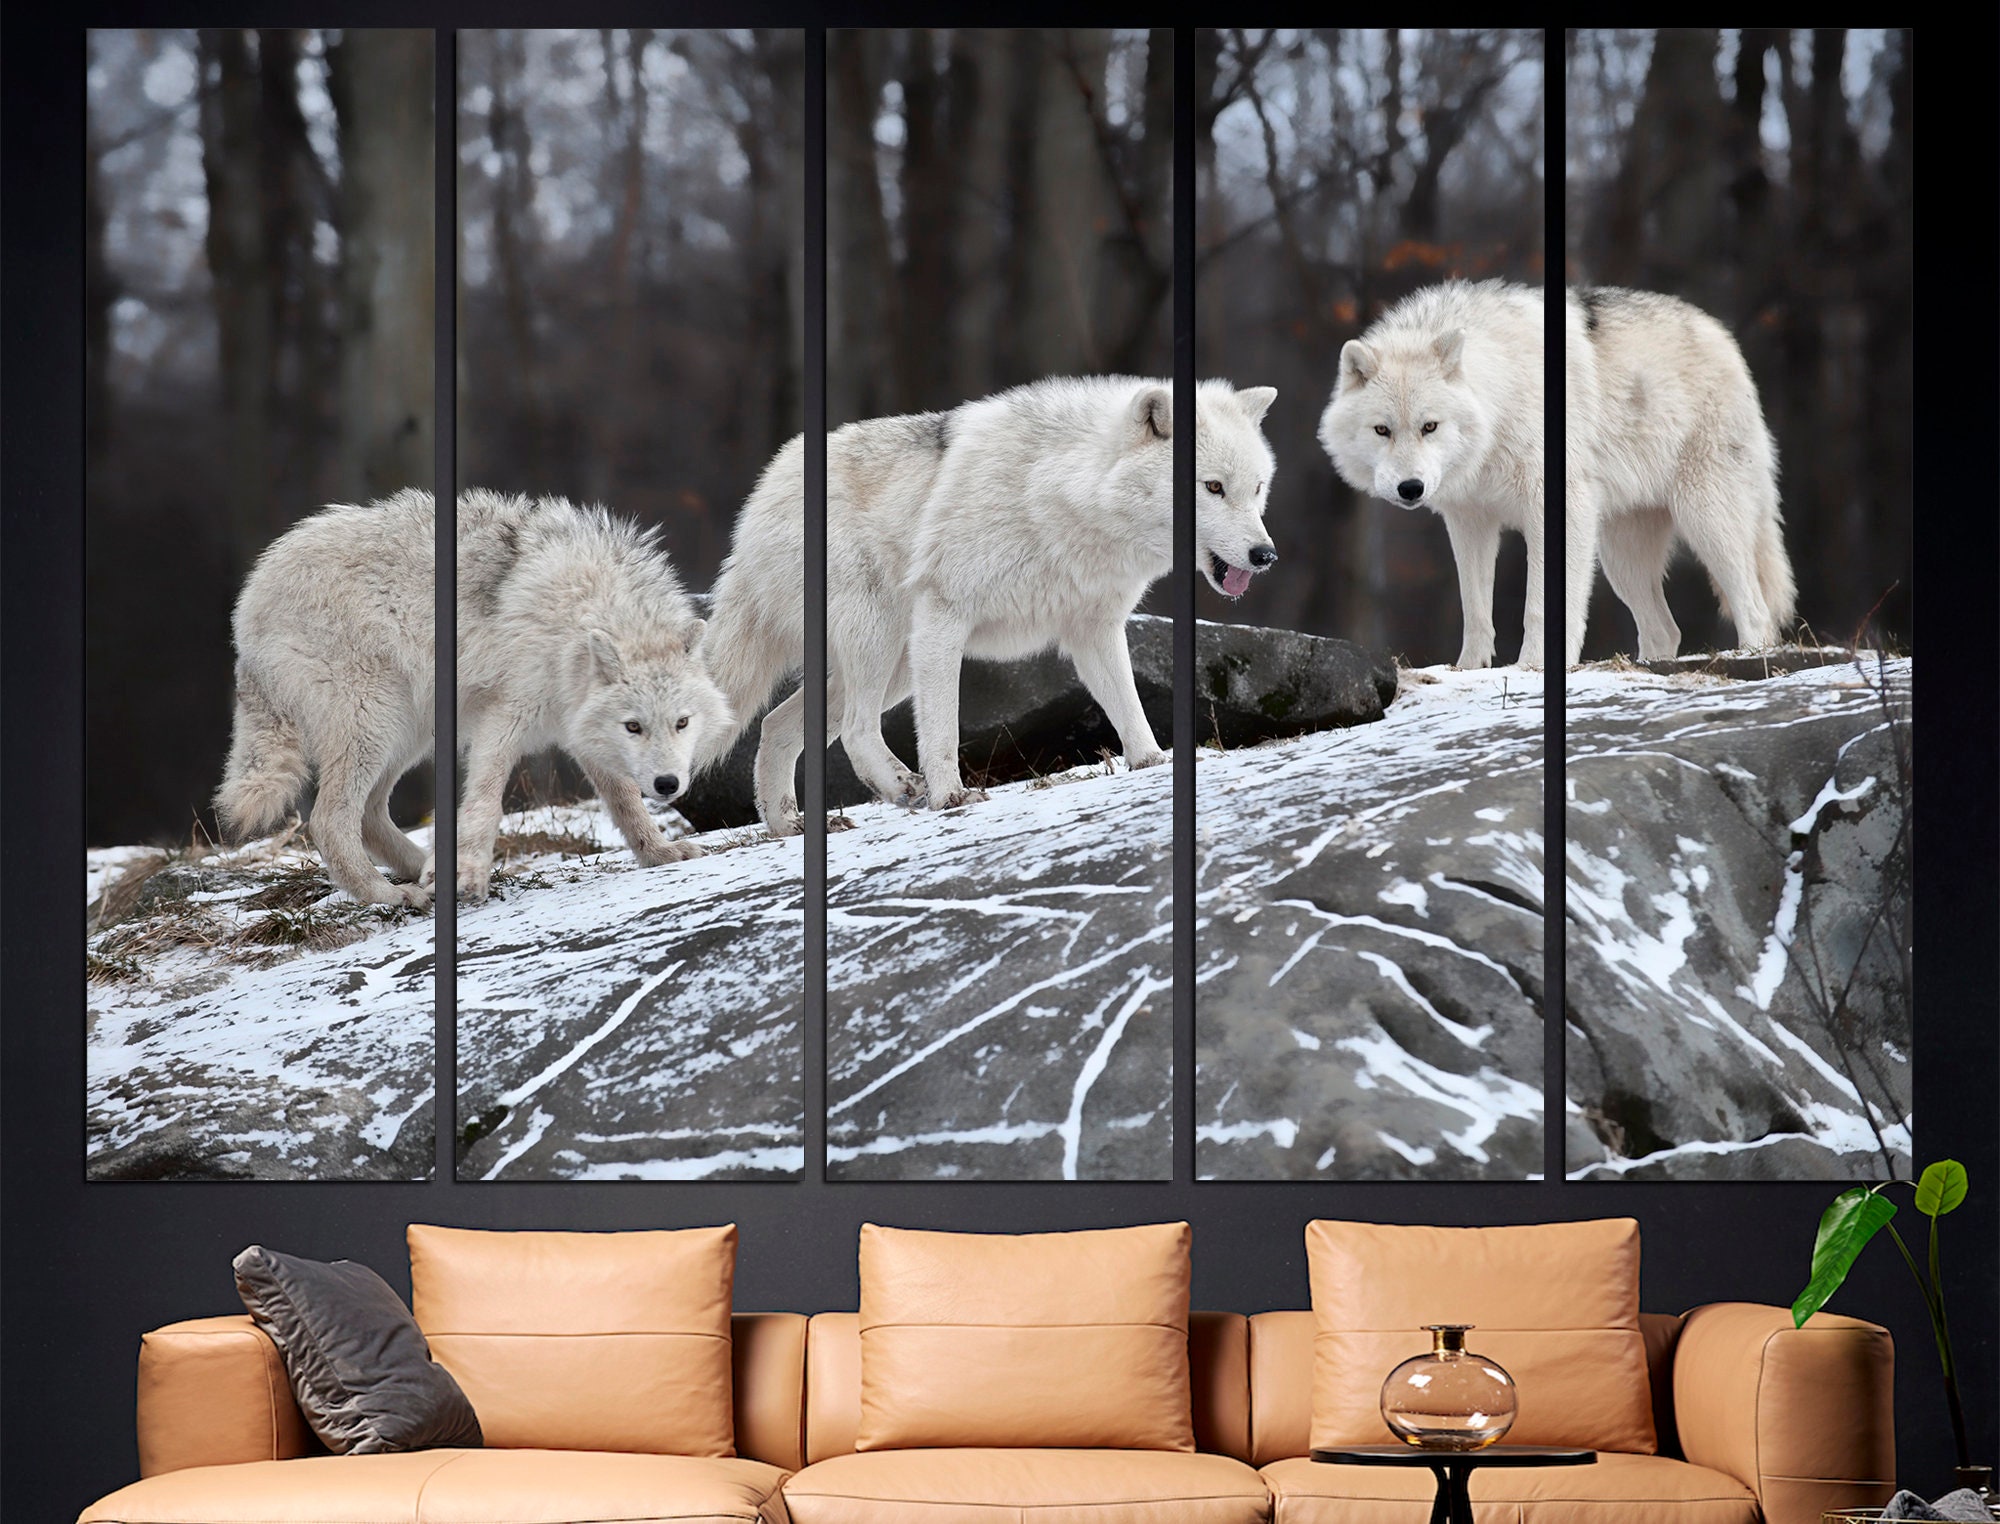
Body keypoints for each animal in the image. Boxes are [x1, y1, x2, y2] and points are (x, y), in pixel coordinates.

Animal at [215, 489, 730, 905]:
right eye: (634, 726)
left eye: (682, 723)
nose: (668, 784)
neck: (577, 613)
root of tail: (248, 601)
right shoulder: (503, 718)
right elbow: (485, 803)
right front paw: (467, 875)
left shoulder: (580, 730)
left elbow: (625, 803)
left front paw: (659, 853)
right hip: (377, 723)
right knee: (329, 821)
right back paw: (390, 894)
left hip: (409, 732)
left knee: (369, 816)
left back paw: (422, 870)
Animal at [701, 376, 1280, 834]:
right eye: (1213, 487)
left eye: (1256, 489)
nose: (1266, 554)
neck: (1060, 496)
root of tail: (759, 499)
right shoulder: (944, 616)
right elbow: (942, 728)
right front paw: (950, 796)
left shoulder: (1094, 629)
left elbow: (1128, 706)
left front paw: (1152, 762)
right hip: (881, 640)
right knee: (856, 730)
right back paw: (902, 788)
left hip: (892, 666)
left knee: (777, 726)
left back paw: (788, 826)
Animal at [1318, 279, 1546, 669]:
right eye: (1382, 430)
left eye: (1429, 426)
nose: (1410, 488)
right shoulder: (1469, 518)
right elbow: (1474, 607)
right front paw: (1470, 668)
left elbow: (1539, 607)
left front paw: (1532, 665)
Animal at [1566, 285, 1795, 664]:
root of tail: (1720, 332)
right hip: (1620, 553)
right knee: (1664, 630)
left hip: (1707, 518)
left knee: (1755, 609)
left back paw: (1747, 656)